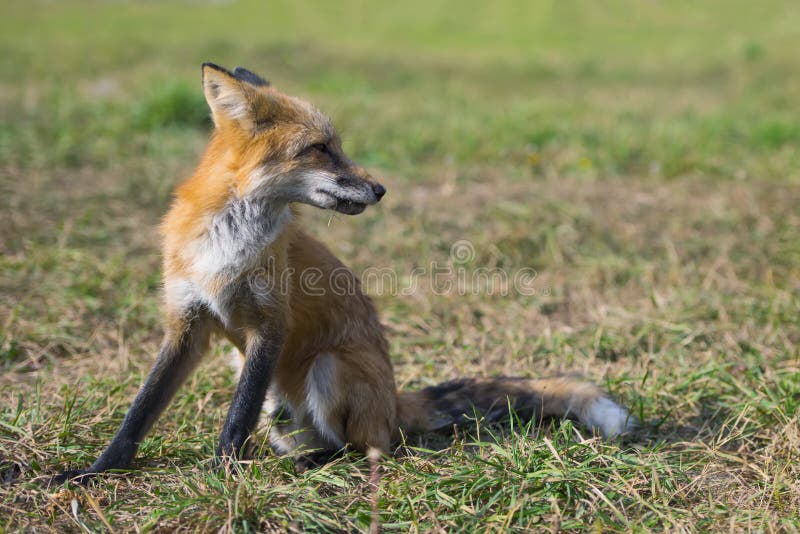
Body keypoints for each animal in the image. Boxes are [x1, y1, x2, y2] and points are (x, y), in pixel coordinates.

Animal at [54, 63, 635, 483]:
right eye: (319, 148)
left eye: (339, 145)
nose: (380, 189)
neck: (227, 242)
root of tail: (396, 401)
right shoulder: (188, 324)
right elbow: (139, 413)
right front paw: (95, 473)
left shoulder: (270, 323)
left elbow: (235, 420)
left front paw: (223, 476)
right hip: (279, 408)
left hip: (329, 366)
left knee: (363, 449)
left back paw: (312, 464)